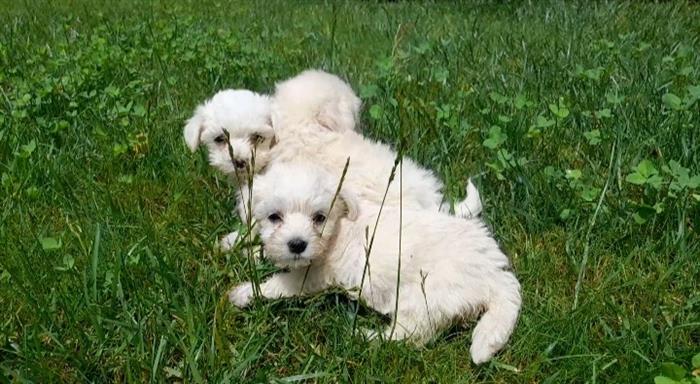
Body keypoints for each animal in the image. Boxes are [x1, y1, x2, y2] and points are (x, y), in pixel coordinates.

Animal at [230, 161, 520, 364]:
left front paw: (244, 293)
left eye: (319, 218)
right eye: (274, 217)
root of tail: (495, 272)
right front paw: (245, 252)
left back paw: (364, 335)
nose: (297, 244)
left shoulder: (311, 276)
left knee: (408, 335)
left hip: (421, 297)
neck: (339, 229)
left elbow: (279, 284)